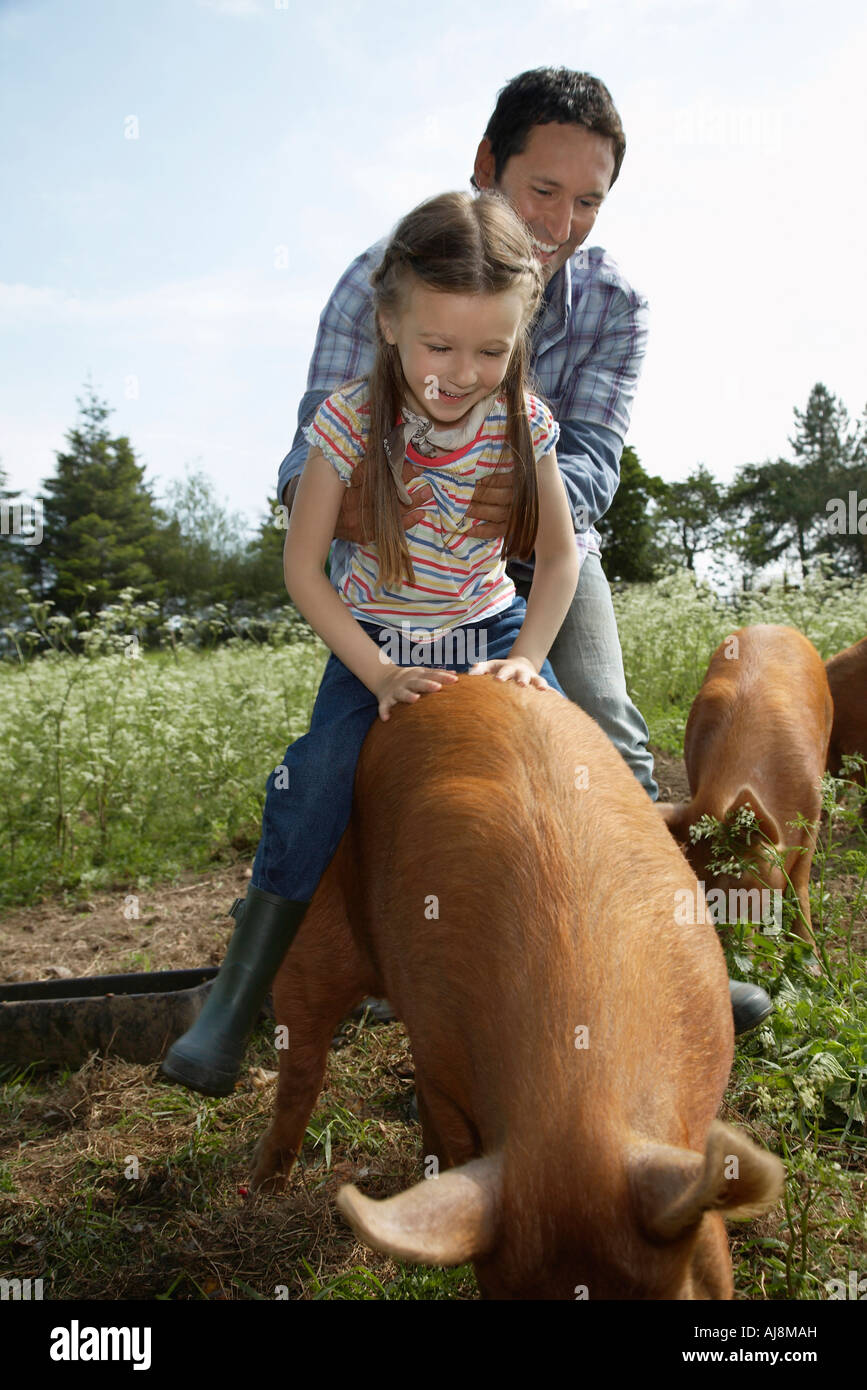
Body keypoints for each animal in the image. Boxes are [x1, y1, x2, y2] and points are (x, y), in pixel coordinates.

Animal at [658, 625, 832, 947]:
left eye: (737, 876)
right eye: (696, 878)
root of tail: (773, 625)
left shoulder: (812, 812)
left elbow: (800, 881)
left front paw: (811, 955)